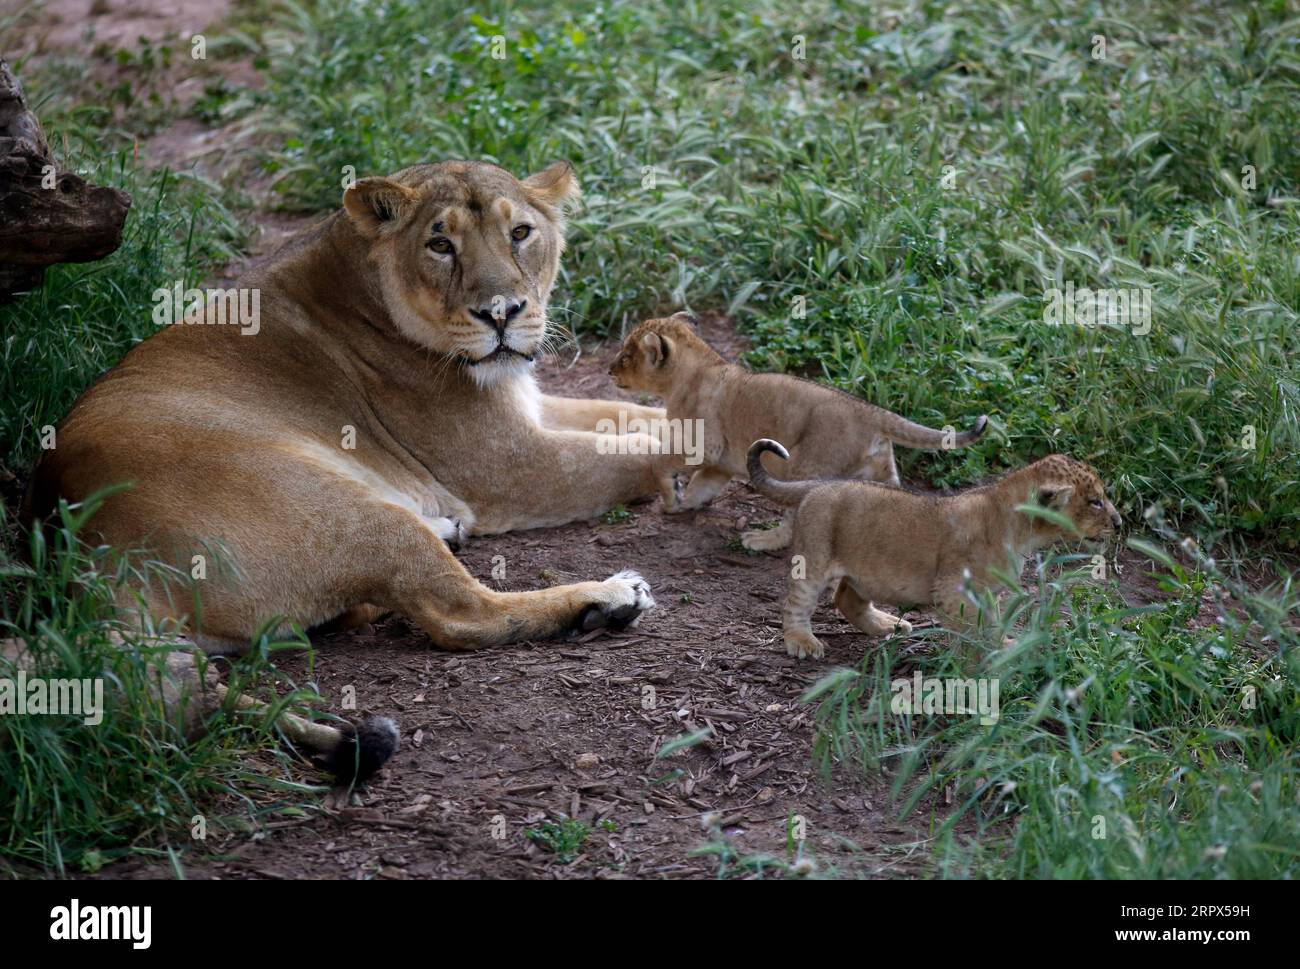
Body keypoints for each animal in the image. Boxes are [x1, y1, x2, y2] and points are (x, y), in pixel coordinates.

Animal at [20, 160, 669, 775]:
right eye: (440, 244)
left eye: (520, 233)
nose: (502, 313)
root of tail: (82, 559)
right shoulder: (513, 465)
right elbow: (648, 449)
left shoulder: (529, 409)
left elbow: (643, 418)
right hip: (348, 513)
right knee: (462, 615)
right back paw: (608, 599)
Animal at [607, 313, 987, 550]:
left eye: (626, 355)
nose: (610, 370)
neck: (696, 366)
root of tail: (873, 412)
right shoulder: (720, 461)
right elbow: (702, 484)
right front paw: (684, 503)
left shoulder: (705, 445)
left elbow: (662, 462)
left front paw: (671, 497)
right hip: (879, 470)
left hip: (806, 467)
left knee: (794, 516)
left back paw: (763, 541)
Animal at [746, 440, 1121, 660]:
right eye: (1095, 501)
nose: (1119, 522)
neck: (1018, 527)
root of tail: (819, 484)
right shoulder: (954, 590)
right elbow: (975, 630)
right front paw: (988, 660)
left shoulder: (987, 592)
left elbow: (992, 623)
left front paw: (1006, 647)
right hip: (814, 556)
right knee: (796, 603)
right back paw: (802, 642)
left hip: (864, 569)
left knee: (847, 599)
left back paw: (886, 625)